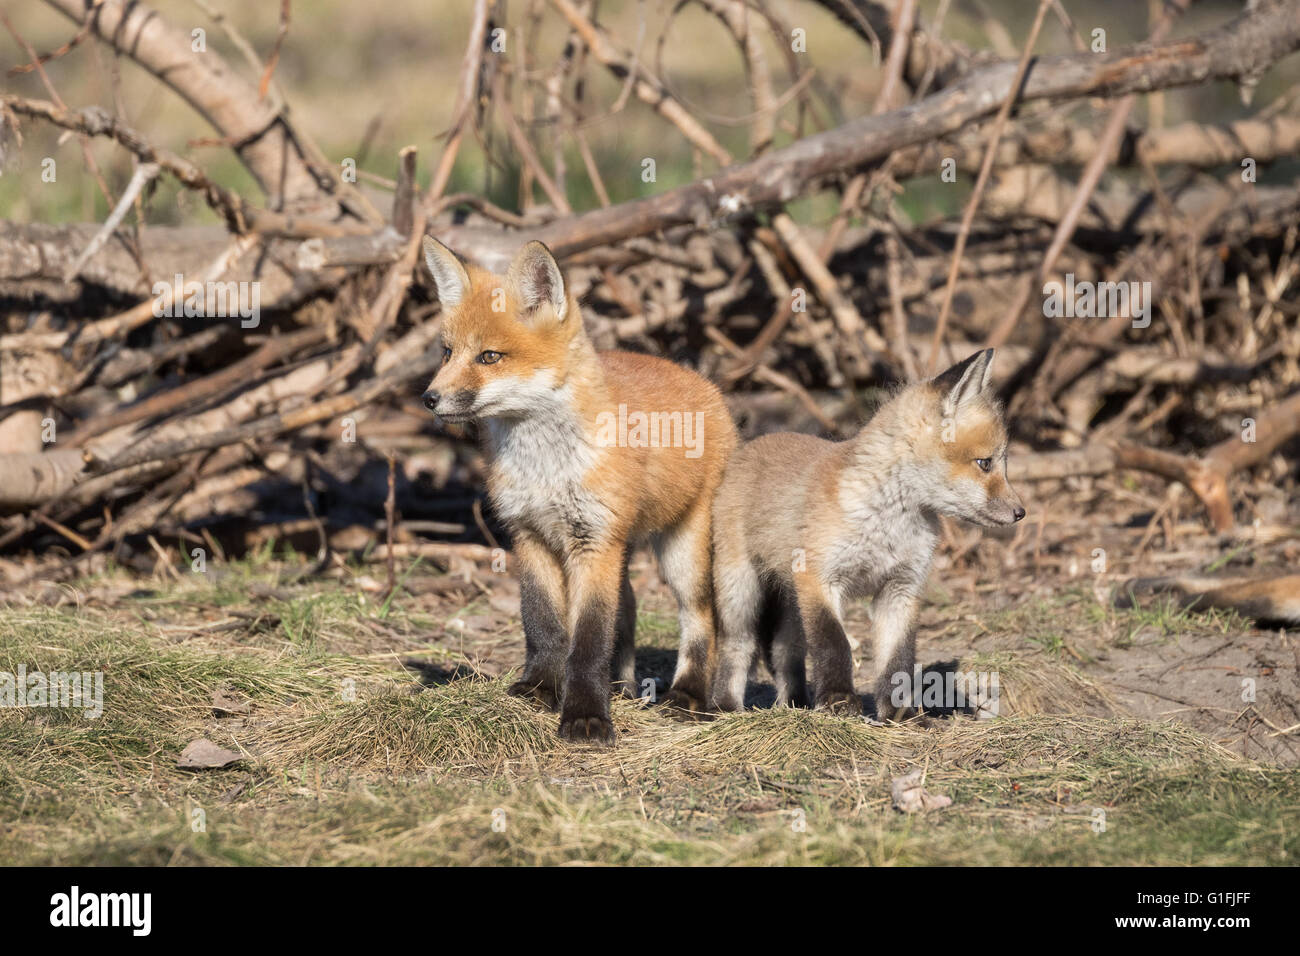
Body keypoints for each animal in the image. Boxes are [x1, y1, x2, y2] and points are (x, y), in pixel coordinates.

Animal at [420, 237, 738, 744]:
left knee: (700, 619)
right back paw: (622, 687)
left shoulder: (594, 542)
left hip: (681, 551)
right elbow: (545, 626)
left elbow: (588, 640)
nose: (429, 398)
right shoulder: (529, 535)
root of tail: (705, 384)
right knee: (628, 609)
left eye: (489, 357)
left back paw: (687, 695)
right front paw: (540, 689)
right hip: (624, 547)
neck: (545, 465)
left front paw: (586, 715)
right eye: (447, 352)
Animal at [710, 348, 1025, 720]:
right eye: (985, 463)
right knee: (737, 646)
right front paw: (839, 700)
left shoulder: (901, 588)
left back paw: (796, 706)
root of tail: (753, 444)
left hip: (792, 603)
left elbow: (897, 660)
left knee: (786, 654)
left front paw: (900, 715)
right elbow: (836, 644)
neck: (889, 521)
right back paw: (726, 707)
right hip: (741, 592)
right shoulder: (819, 579)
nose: (1021, 512)